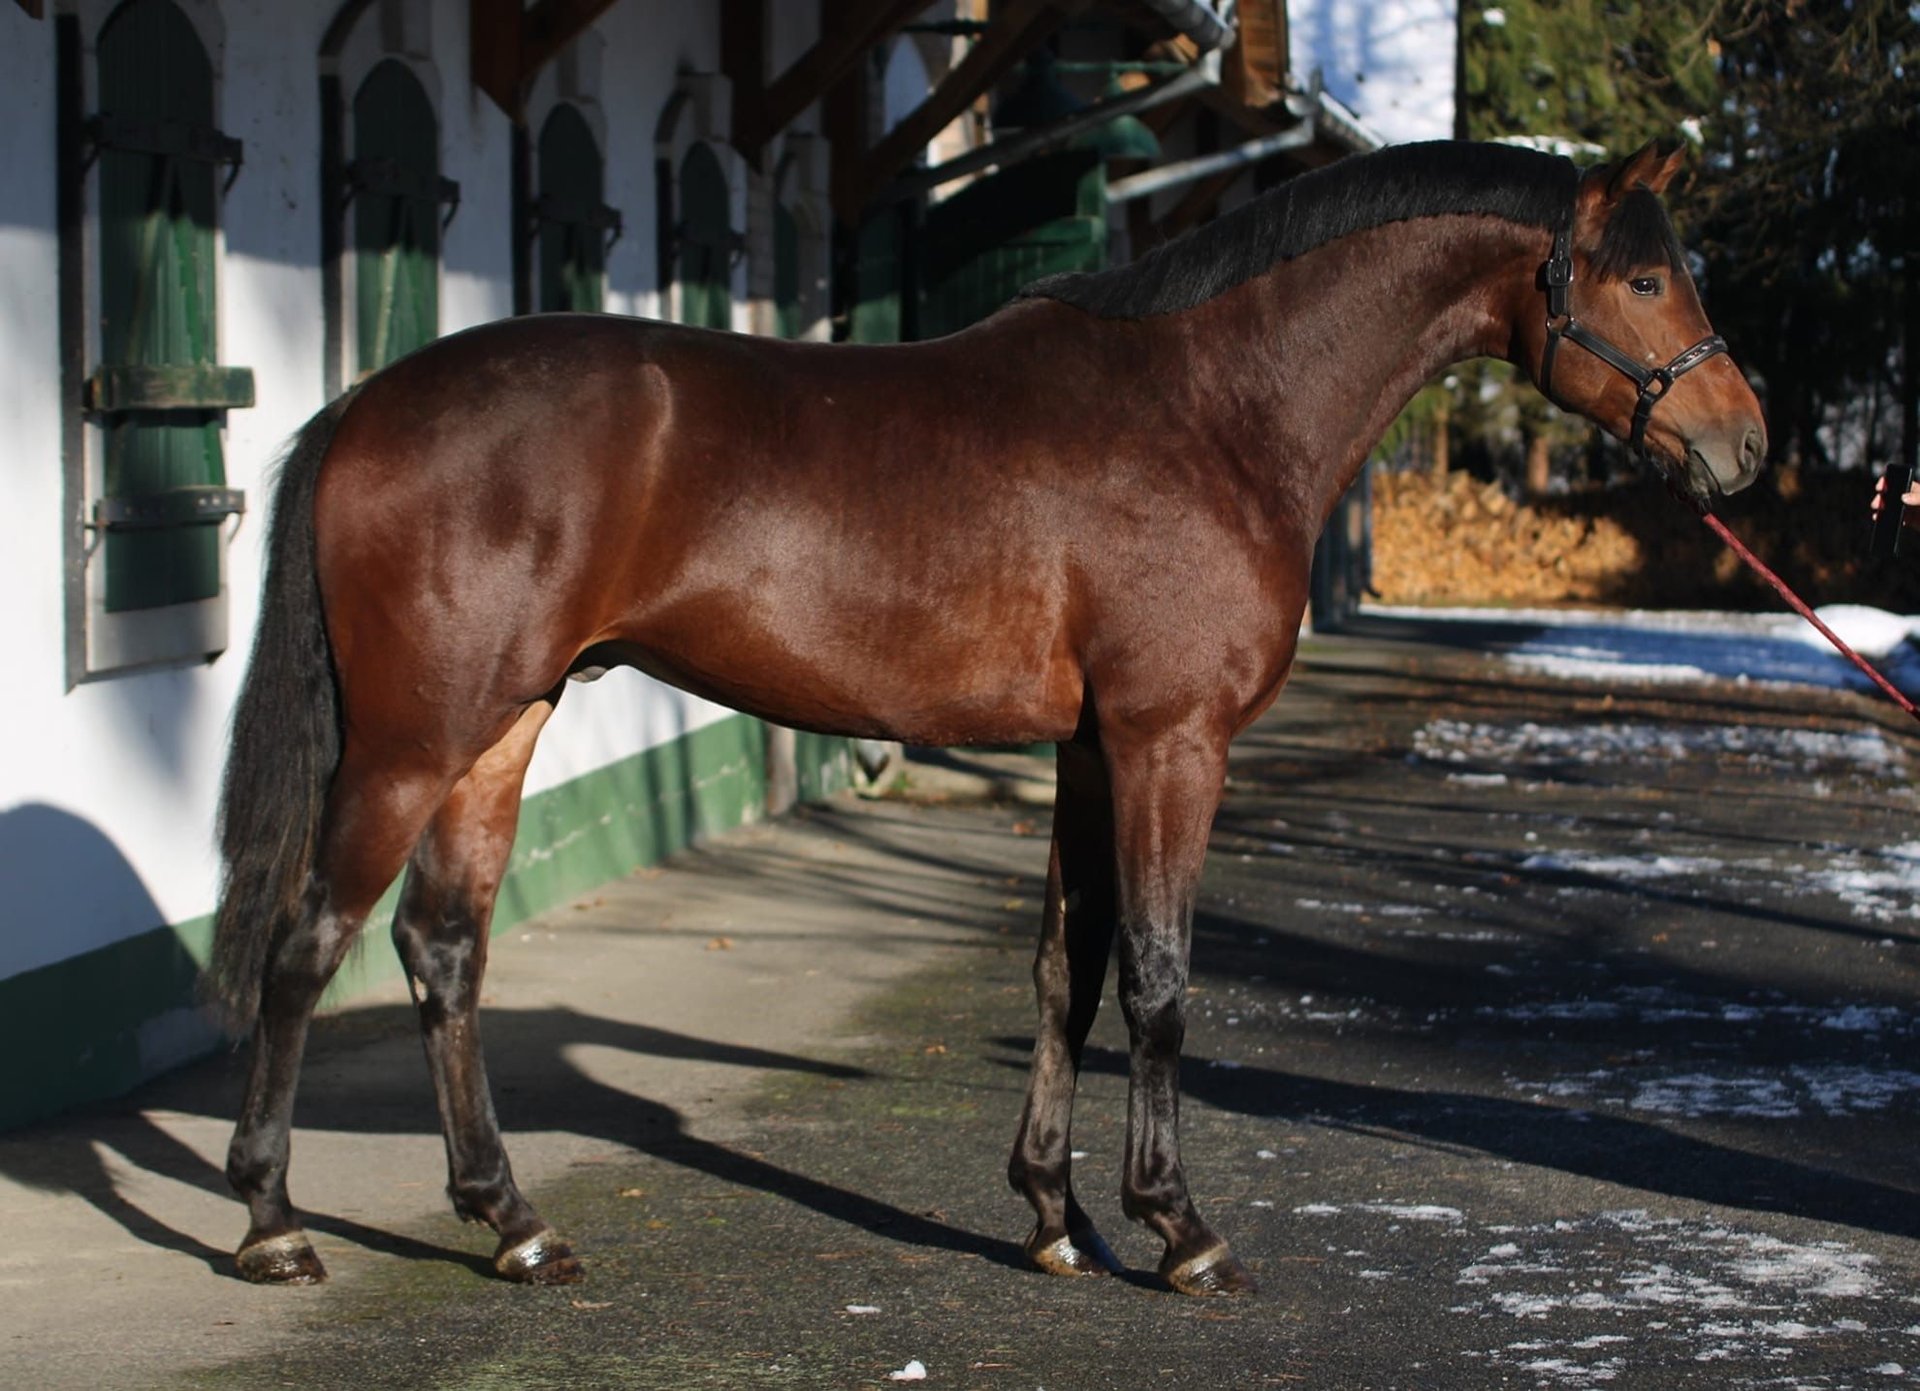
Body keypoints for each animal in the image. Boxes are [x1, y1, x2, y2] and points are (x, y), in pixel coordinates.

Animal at [208, 139, 1766, 1296]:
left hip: (501, 726)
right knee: (307, 942)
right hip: (410, 741)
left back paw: (514, 1220)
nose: (1743, 444)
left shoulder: (1089, 746)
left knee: (441, 948)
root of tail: (366, 404)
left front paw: (1053, 1213)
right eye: (1644, 274)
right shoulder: (1168, 740)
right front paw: (1179, 1228)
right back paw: (273, 1220)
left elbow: (1064, 970)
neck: (1210, 406)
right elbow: (1156, 978)